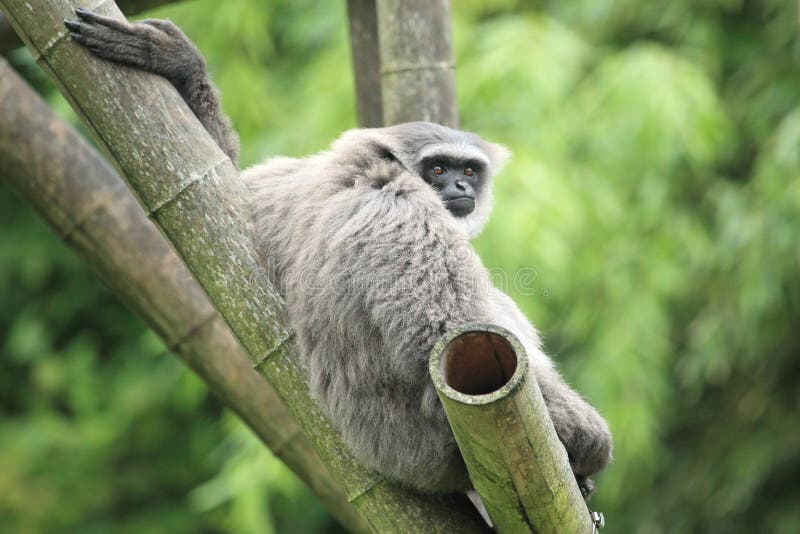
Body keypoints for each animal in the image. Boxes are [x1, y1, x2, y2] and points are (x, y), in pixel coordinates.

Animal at [65, 9, 612, 495]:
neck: (368, 173)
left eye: (470, 171)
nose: (459, 186)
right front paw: (589, 443)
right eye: (438, 169)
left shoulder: (301, 182)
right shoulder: (403, 213)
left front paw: (178, 66)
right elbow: (447, 353)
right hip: (432, 456)